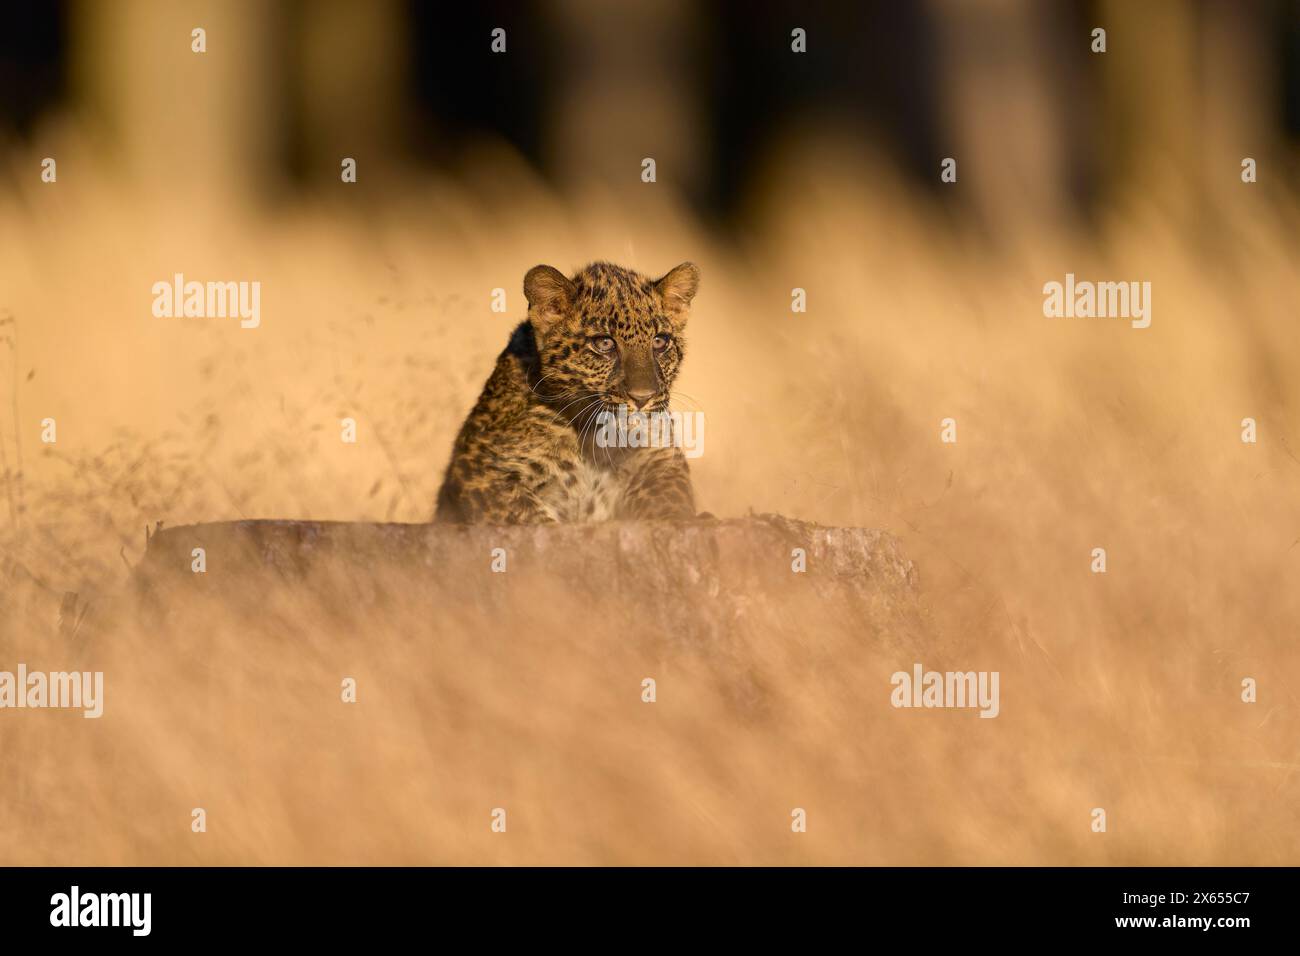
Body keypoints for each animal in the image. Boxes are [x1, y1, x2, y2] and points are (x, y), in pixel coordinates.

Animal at [434, 260, 701, 524]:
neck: (594, 438)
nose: (642, 398)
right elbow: (528, 517)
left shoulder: (661, 457)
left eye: (660, 342)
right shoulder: (481, 468)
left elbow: (671, 499)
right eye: (604, 343)